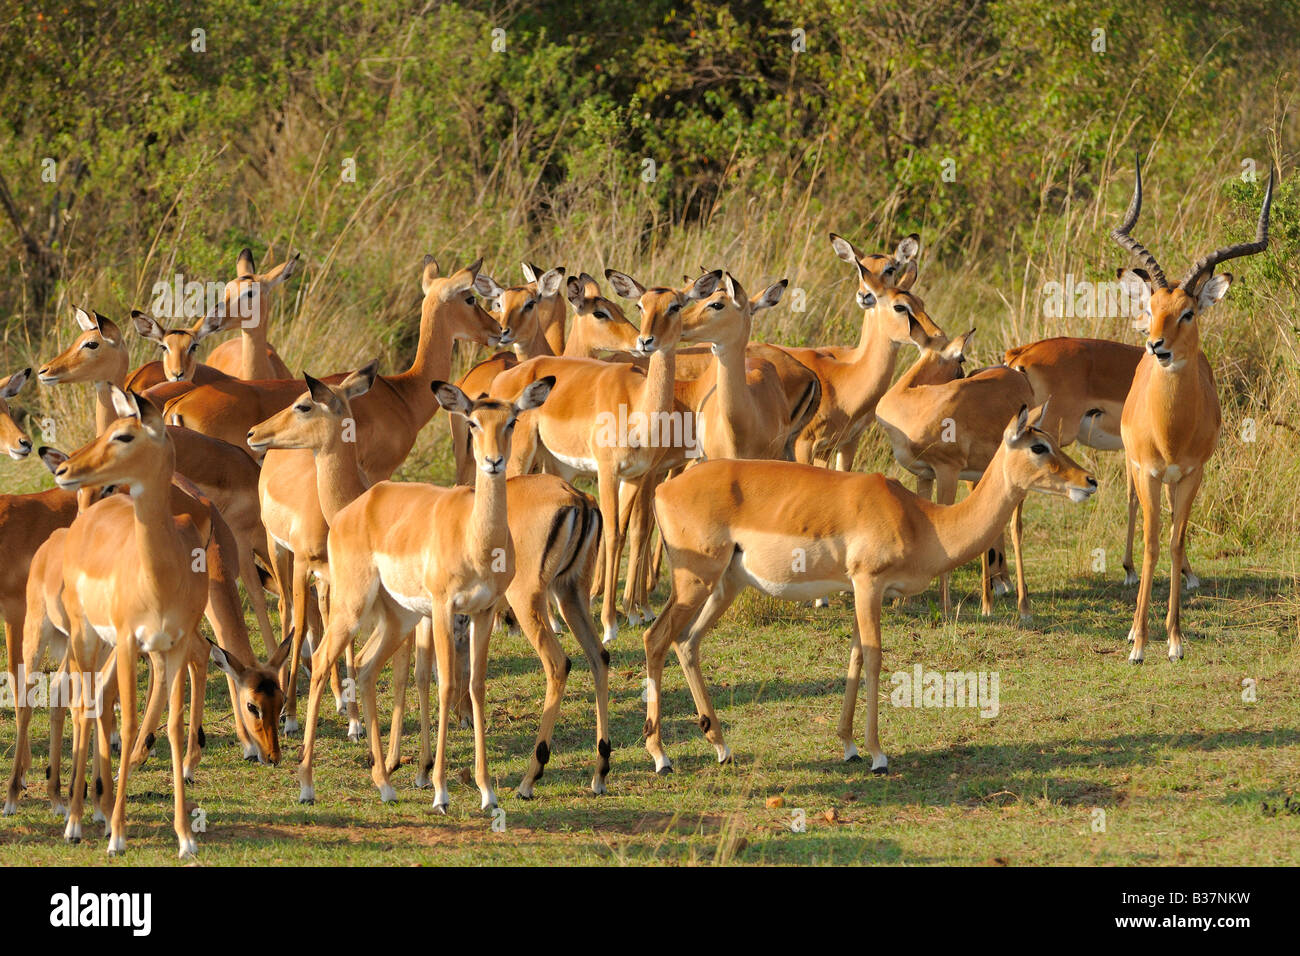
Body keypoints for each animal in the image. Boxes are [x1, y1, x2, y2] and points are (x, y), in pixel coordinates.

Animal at [54, 388, 211, 857]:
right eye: (110, 430)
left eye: (124, 435)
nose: (65, 470)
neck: (161, 575)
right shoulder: (127, 643)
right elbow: (126, 723)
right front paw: (118, 837)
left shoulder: (173, 646)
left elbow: (174, 726)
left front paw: (185, 838)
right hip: (87, 639)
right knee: (82, 706)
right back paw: (75, 823)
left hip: (121, 650)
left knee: (98, 701)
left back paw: (97, 814)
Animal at [295, 377, 555, 812]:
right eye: (472, 423)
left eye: (512, 421)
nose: (494, 462)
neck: (476, 540)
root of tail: (352, 509)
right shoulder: (444, 607)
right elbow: (446, 684)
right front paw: (440, 791)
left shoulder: (483, 612)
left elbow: (476, 685)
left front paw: (487, 791)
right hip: (351, 606)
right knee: (319, 661)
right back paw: (306, 785)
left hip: (398, 619)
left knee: (367, 666)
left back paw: (385, 784)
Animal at [488, 269, 722, 644]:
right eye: (641, 305)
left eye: (675, 305)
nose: (646, 341)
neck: (638, 407)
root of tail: (507, 375)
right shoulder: (608, 471)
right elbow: (612, 534)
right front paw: (611, 622)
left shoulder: (636, 476)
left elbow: (627, 533)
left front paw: (629, 614)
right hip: (519, 457)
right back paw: (503, 620)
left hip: (557, 466)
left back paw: (552, 619)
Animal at [640, 406, 1096, 775]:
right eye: (1038, 446)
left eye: (1050, 439)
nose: (1089, 480)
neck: (923, 521)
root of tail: (663, 490)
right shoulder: (868, 584)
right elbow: (875, 658)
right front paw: (878, 755)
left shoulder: (863, 591)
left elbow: (856, 656)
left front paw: (849, 746)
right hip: (696, 582)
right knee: (655, 637)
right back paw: (661, 756)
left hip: (724, 586)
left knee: (687, 642)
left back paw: (722, 747)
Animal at [1111, 158, 1272, 663]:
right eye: (1153, 306)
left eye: (1189, 312)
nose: (1156, 346)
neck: (1170, 431)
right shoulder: (1146, 471)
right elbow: (1152, 544)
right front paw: (1139, 641)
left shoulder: (1192, 474)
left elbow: (1176, 543)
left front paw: (1175, 639)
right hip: (1138, 472)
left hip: (1175, 481)